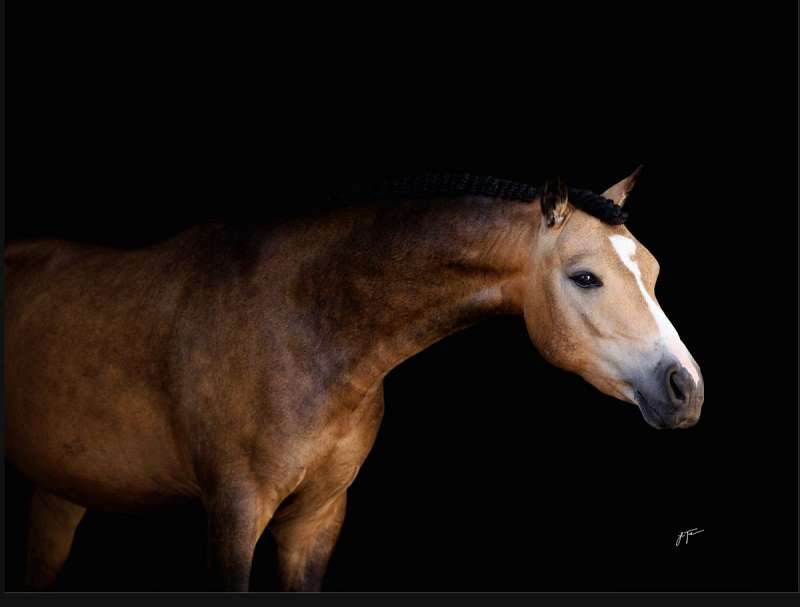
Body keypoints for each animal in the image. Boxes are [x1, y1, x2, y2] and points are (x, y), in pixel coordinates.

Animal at [4, 169, 704, 591]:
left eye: (653, 270)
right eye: (586, 277)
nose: (686, 388)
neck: (307, 327)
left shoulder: (318, 518)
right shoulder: (232, 512)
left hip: (61, 492)